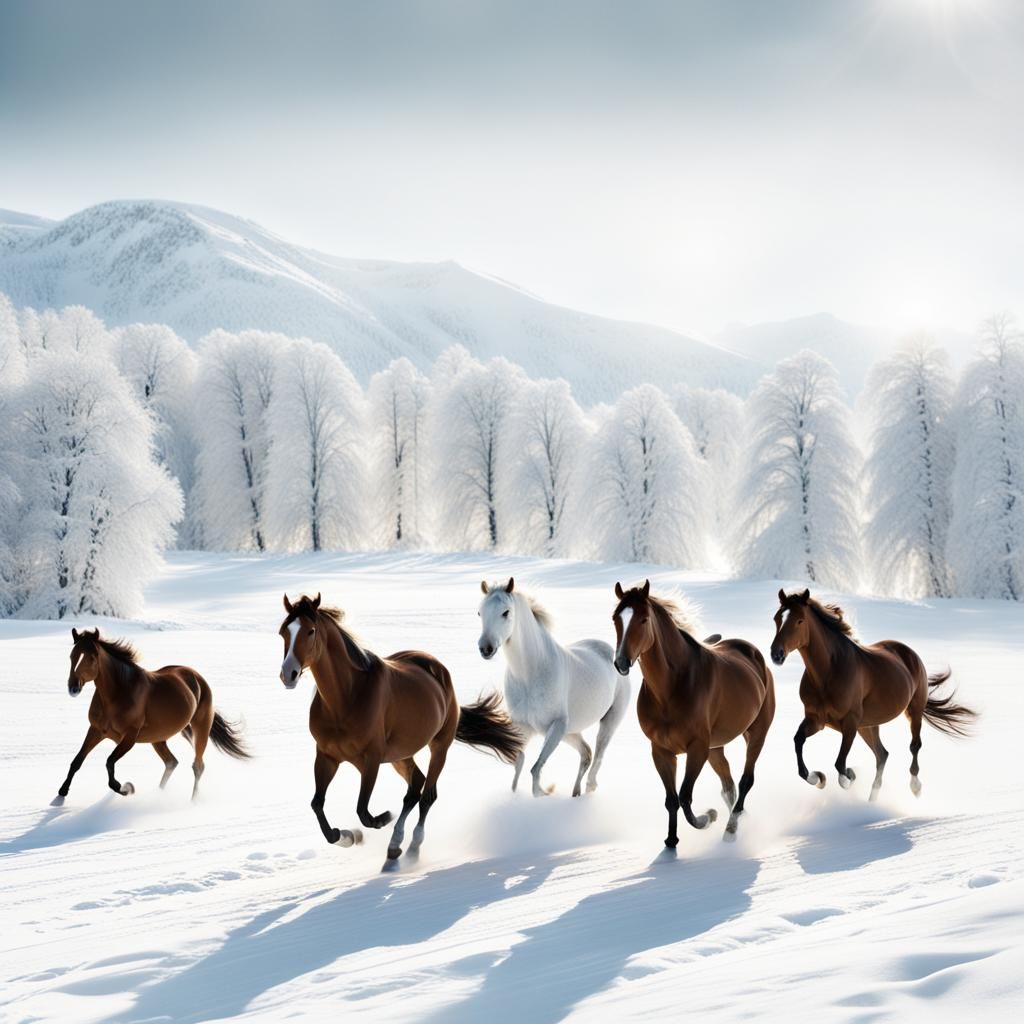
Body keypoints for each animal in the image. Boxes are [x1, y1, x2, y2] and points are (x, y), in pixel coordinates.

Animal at [56, 627, 250, 804]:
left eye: (91, 657)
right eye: (72, 656)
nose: (73, 688)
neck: (118, 694)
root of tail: (197, 677)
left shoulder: (129, 737)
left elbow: (109, 763)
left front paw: (126, 788)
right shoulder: (96, 730)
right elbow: (77, 761)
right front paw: (61, 793)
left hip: (200, 727)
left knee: (197, 766)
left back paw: (193, 801)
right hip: (158, 738)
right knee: (172, 762)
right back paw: (159, 794)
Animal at [278, 592, 523, 864]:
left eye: (310, 631)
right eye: (283, 632)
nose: (288, 674)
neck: (346, 698)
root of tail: (439, 670)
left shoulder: (371, 759)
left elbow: (364, 811)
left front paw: (382, 818)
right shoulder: (326, 756)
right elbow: (318, 805)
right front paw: (348, 836)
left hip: (439, 747)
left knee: (427, 796)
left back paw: (411, 847)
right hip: (400, 755)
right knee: (415, 787)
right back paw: (395, 845)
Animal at [478, 577, 629, 798]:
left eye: (506, 612)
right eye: (479, 612)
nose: (485, 648)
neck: (530, 675)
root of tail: (610, 652)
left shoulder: (556, 725)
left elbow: (535, 770)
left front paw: (545, 792)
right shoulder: (523, 727)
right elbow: (519, 764)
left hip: (608, 721)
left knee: (597, 758)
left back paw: (586, 791)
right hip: (570, 732)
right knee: (586, 753)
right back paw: (575, 794)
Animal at [612, 580, 775, 846]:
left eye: (644, 619)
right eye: (616, 618)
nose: (621, 662)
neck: (671, 689)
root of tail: (752, 652)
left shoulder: (697, 748)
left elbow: (685, 797)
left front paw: (708, 817)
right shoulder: (661, 751)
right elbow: (671, 799)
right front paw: (671, 841)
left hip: (756, 733)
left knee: (745, 781)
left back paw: (731, 827)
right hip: (716, 748)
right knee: (729, 785)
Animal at [770, 588, 976, 799]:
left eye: (800, 620)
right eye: (777, 618)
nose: (776, 654)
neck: (829, 672)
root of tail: (910, 653)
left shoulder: (850, 722)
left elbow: (840, 764)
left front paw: (849, 777)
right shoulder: (816, 719)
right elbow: (799, 742)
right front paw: (819, 778)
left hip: (913, 711)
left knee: (914, 746)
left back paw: (915, 787)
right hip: (868, 725)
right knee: (882, 754)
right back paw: (872, 799)